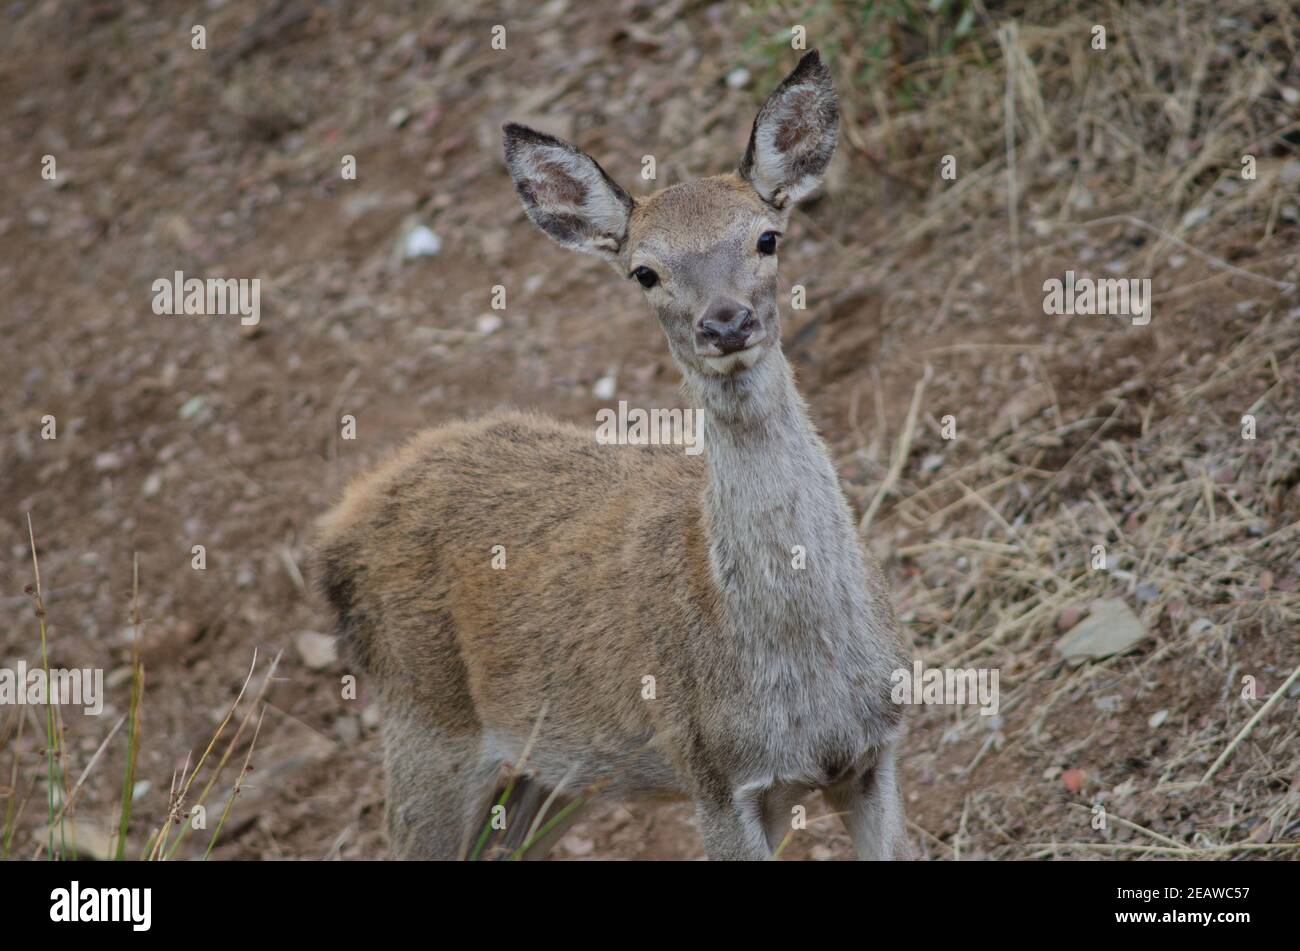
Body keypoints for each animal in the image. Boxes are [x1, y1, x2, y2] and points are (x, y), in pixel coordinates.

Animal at [316, 51, 911, 861]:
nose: (725, 322)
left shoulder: (875, 749)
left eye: (768, 237)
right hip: (425, 721)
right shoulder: (715, 773)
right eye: (644, 271)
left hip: (548, 772)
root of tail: (338, 533)